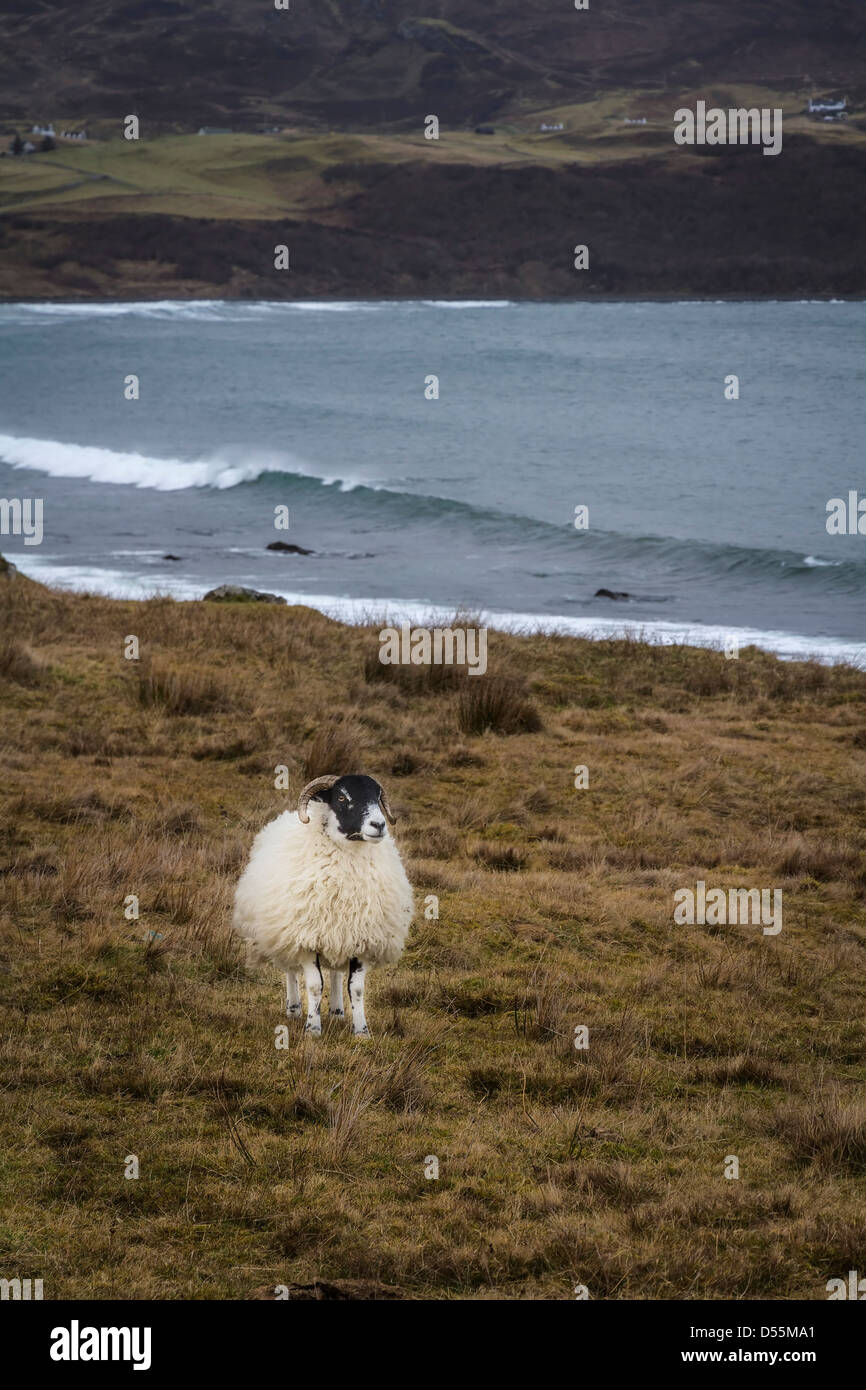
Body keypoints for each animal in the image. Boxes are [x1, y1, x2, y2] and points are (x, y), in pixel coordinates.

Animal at [232, 774, 414, 1037]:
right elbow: (315, 985)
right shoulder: (307, 938)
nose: (379, 825)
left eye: (377, 796)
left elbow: (356, 989)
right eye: (341, 797)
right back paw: (294, 1008)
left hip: (338, 934)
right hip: (283, 930)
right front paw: (312, 1029)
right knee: (290, 969)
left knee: (336, 973)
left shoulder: (361, 938)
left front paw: (362, 1031)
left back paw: (337, 1011)